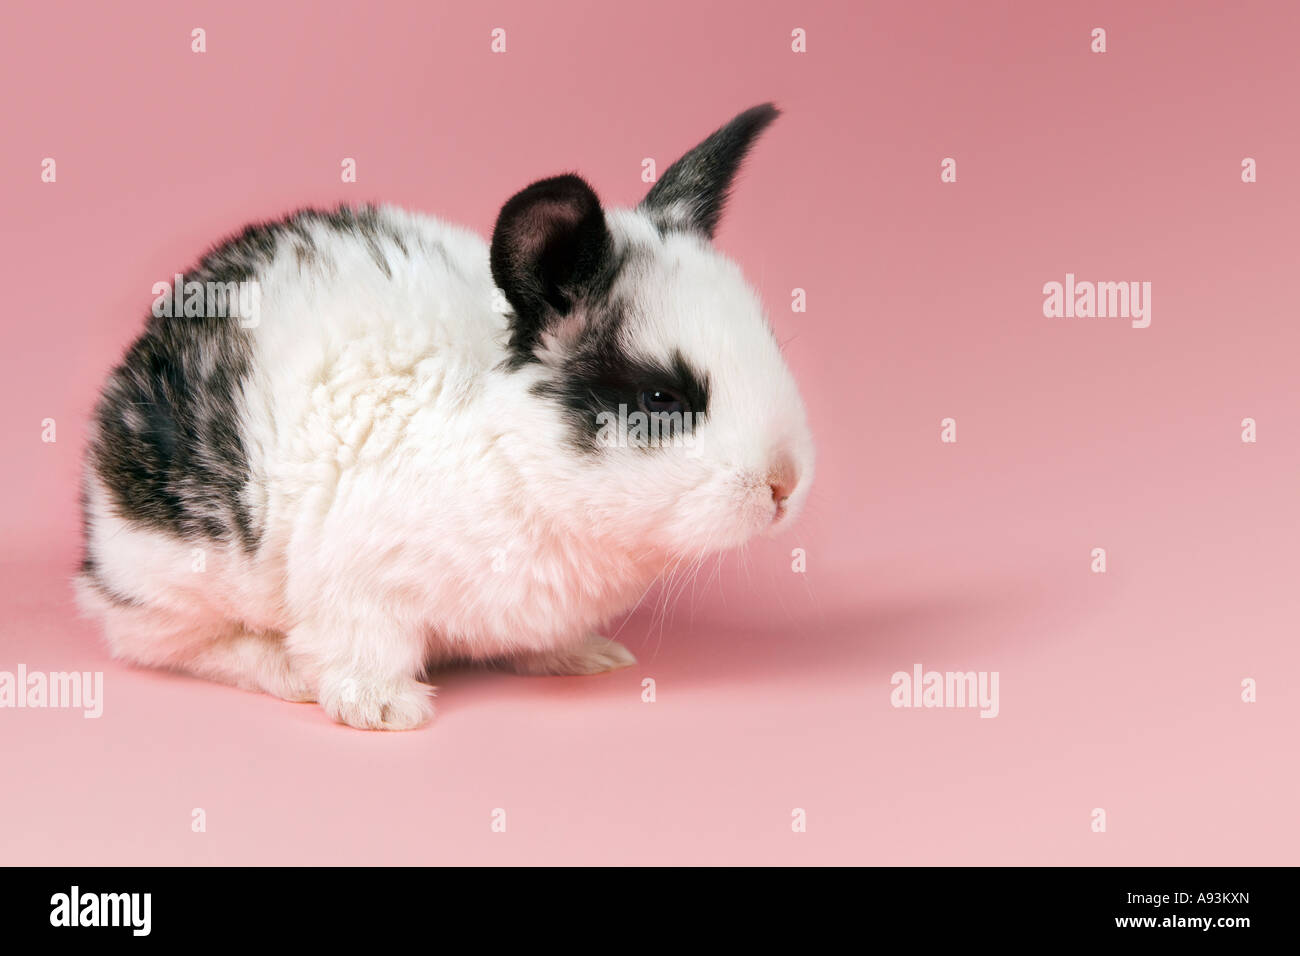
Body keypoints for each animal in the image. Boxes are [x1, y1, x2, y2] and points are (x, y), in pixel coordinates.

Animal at [75, 103, 814, 730]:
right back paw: (283, 670)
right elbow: (360, 652)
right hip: (176, 571)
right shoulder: (357, 588)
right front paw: (385, 711)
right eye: (662, 399)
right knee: (162, 641)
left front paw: (588, 656)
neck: (511, 451)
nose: (784, 485)